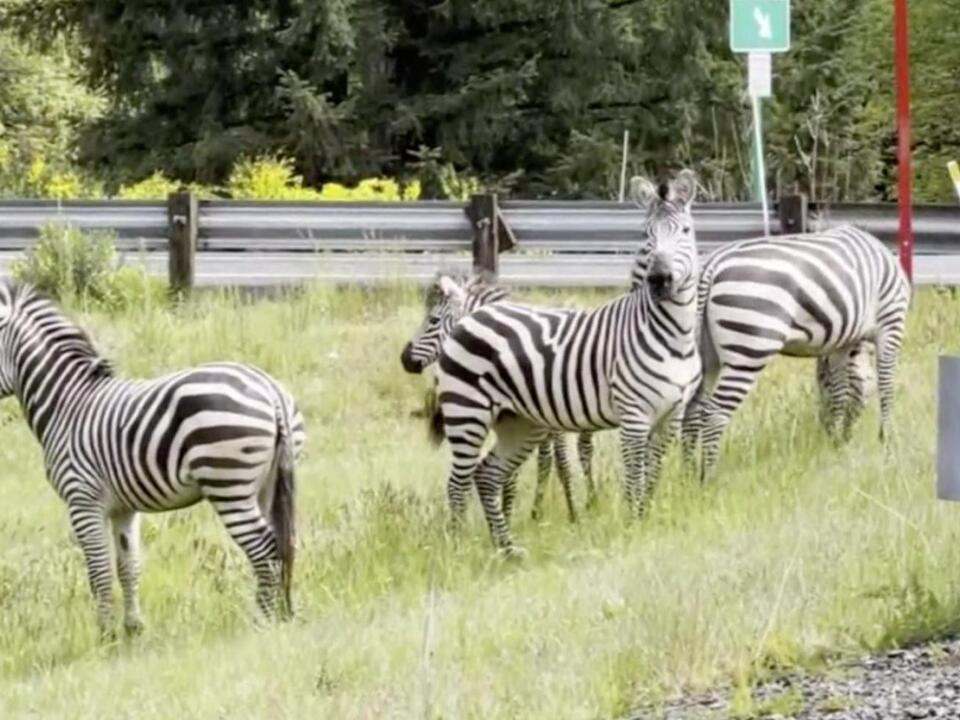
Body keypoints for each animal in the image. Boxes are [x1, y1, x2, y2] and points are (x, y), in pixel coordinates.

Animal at [0, 279, 306, 638]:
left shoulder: (82, 501)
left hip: (229, 485)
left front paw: (105, 636)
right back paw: (280, 615)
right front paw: (133, 630)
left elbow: (98, 572)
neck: (67, 404)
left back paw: (261, 622)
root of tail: (271, 392)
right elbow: (127, 567)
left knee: (265, 549)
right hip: (268, 483)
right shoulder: (123, 508)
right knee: (283, 543)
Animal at [400, 271, 595, 522]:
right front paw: (506, 513)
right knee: (553, 457)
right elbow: (510, 474)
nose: (405, 359)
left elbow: (560, 464)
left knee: (569, 454)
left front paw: (573, 515)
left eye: (433, 321)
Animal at [426, 169, 702, 554]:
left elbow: (653, 474)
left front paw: (648, 521)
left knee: (487, 475)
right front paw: (634, 528)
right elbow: (635, 476)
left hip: (520, 423)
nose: (660, 280)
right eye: (646, 236)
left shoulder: (671, 416)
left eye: (686, 231)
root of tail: (471, 317)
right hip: (468, 413)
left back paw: (506, 548)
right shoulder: (634, 416)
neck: (673, 336)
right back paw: (457, 548)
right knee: (457, 482)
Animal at [681, 224, 911, 480]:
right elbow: (885, 386)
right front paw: (886, 442)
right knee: (714, 414)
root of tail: (712, 264)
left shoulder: (841, 344)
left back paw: (688, 476)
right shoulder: (891, 324)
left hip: (705, 352)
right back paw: (709, 478)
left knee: (692, 411)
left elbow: (841, 393)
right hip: (748, 348)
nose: (831, 432)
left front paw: (837, 446)